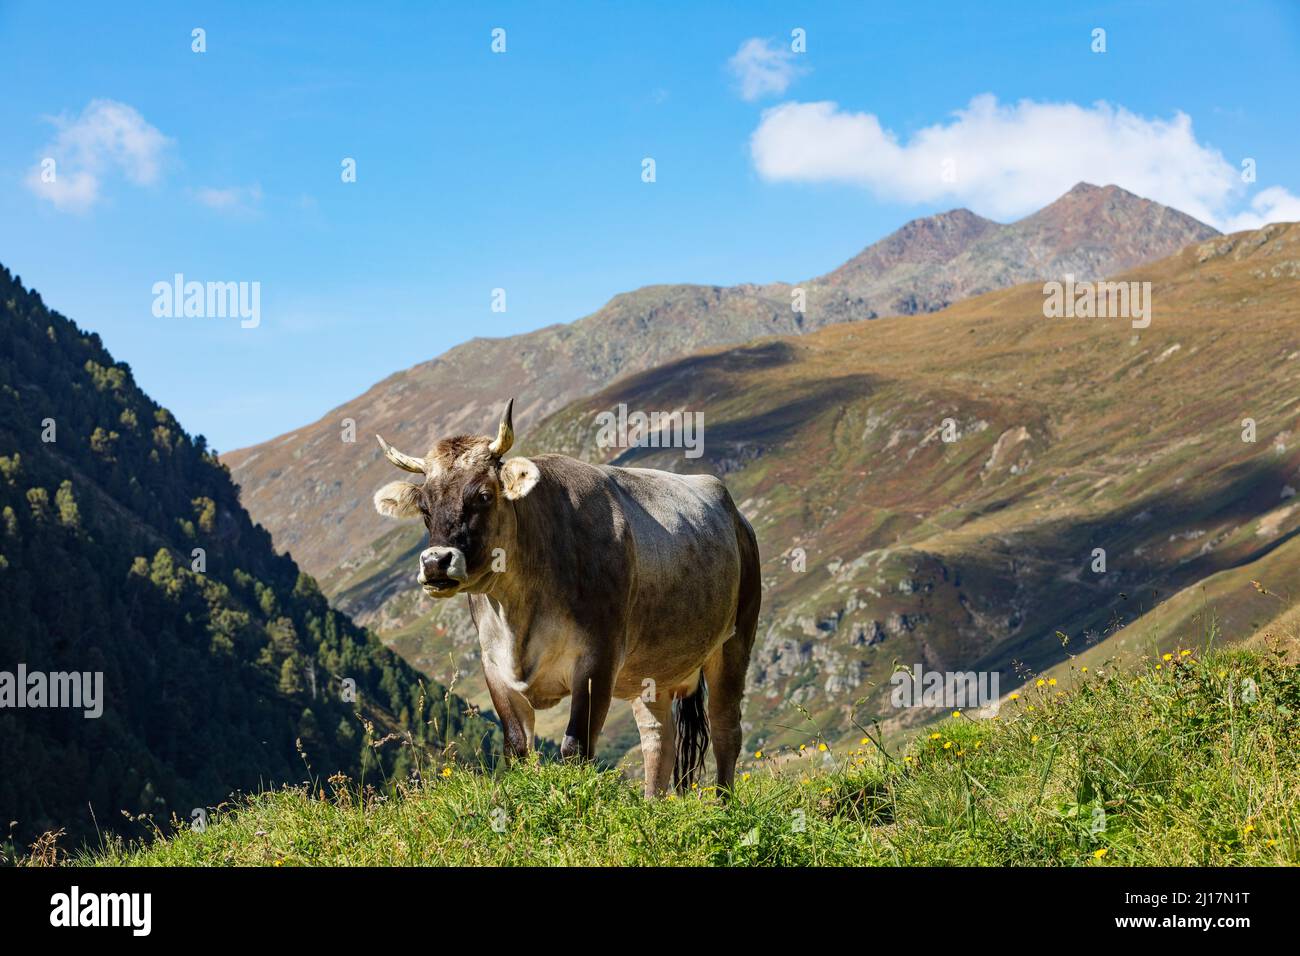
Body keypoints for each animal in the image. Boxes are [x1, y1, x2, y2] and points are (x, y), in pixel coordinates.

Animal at [372, 399, 761, 796]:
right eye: (424, 507)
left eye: (483, 496)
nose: (436, 562)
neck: (520, 613)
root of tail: (737, 518)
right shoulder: (494, 666)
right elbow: (517, 748)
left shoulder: (598, 658)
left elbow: (576, 747)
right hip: (651, 670)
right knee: (658, 739)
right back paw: (653, 804)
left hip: (735, 641)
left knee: (726, 729)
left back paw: (724, 803)